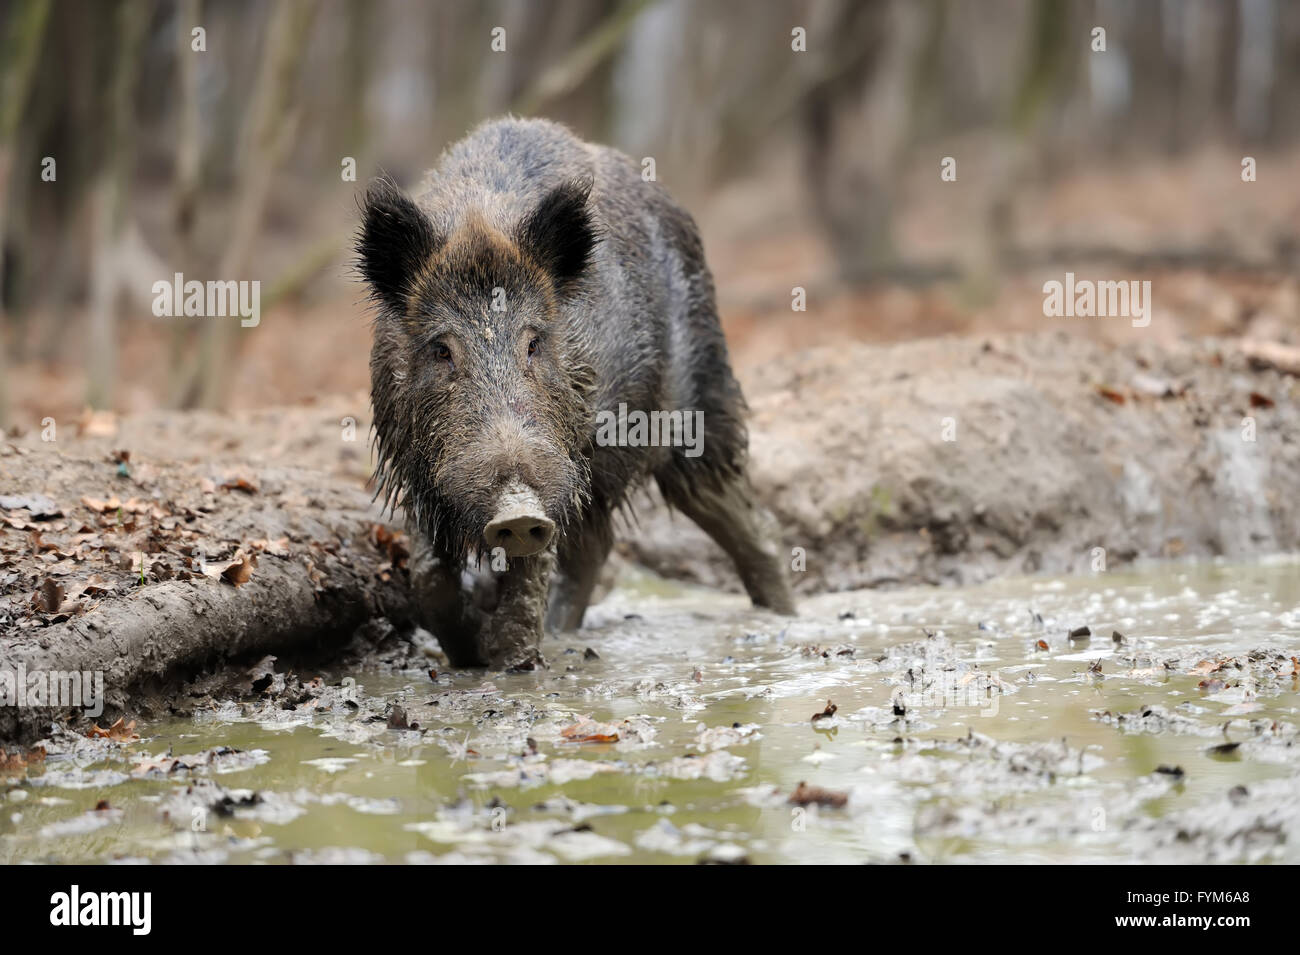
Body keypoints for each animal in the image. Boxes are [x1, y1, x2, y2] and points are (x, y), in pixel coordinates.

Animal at [356, 117, 793, 669]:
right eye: (441, 349)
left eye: (535, 341)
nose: (516, 510)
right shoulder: (412, 465)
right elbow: (429, 579)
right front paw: (469, 652)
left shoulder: (559, 459)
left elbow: (529, 577)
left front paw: (511, 664)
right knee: (597, 545)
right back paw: (565, 633)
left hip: (702, 404)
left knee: (749, 524)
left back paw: (784, 618)